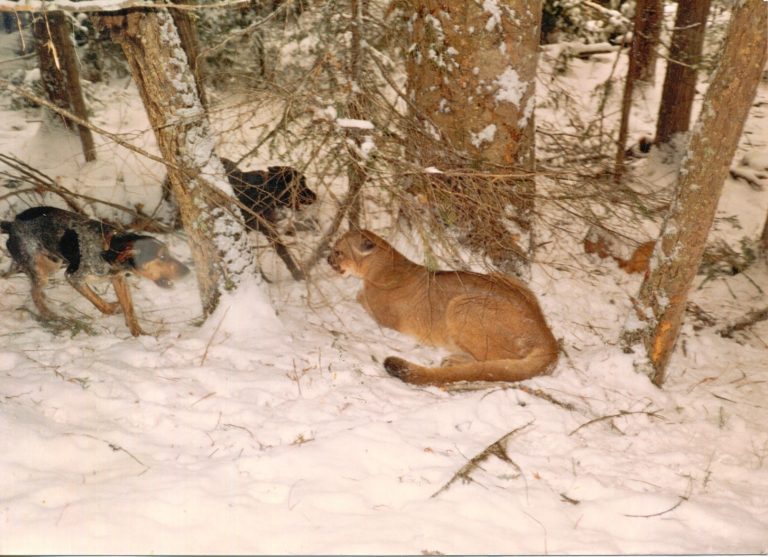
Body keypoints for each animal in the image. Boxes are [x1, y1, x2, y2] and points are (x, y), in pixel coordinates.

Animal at [327, 229, 559, 386]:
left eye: (338, 251)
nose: (328, 259)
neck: (386, 264)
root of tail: (548, 339)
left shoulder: (380, 313)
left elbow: (359, 297)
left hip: (461, 306)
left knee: (492, 363)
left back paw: (454, 361)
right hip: (505, 278)